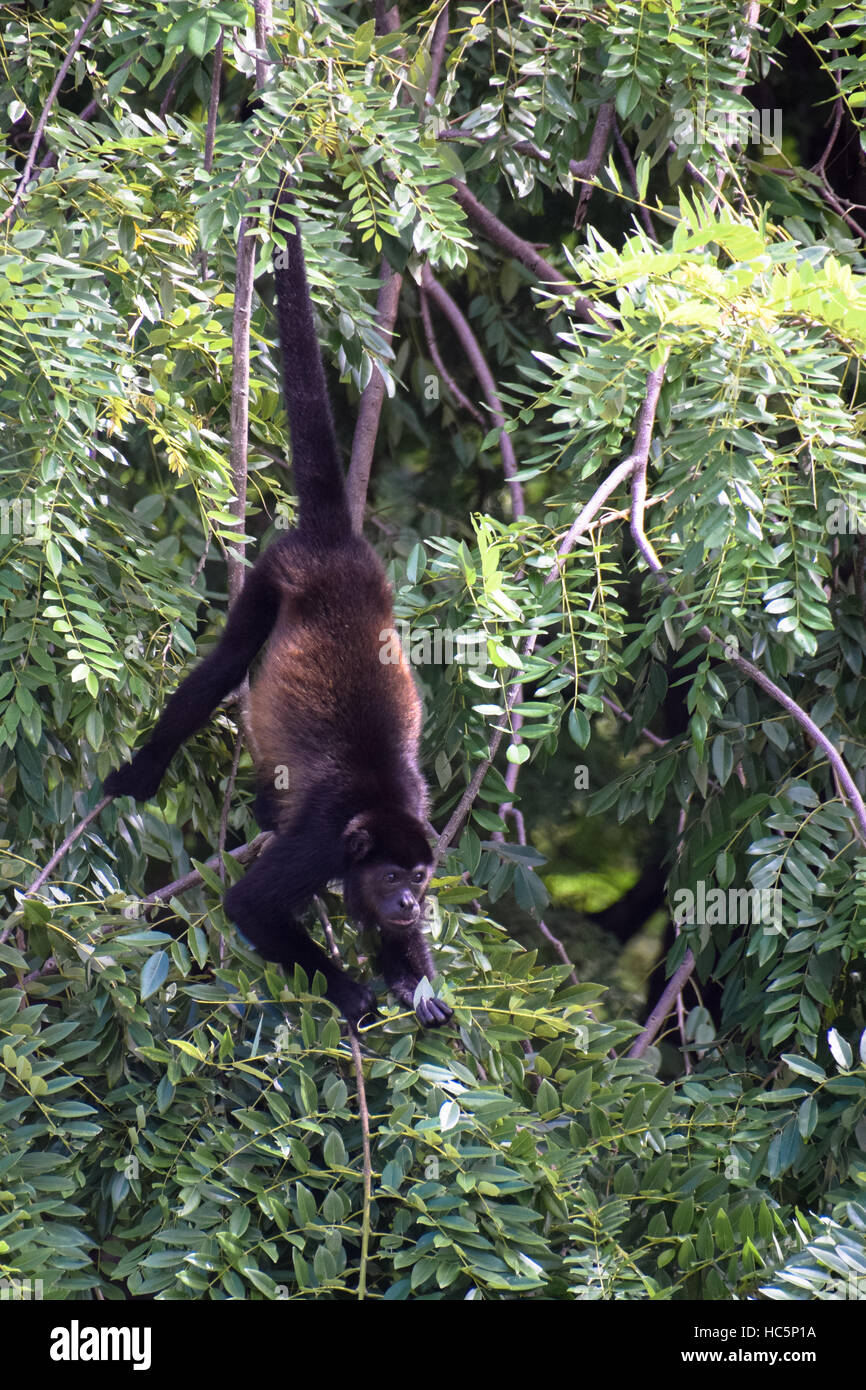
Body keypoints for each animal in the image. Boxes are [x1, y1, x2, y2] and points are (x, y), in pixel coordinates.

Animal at [104, 186, 453, 1031]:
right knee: (224, 665)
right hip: (274, 568)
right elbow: (251, 906)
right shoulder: (325, 843)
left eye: (420, 878)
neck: (376, 813)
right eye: (394, 874)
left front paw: (417, 982)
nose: (408, 903)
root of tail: (336, 540)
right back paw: (147, 771)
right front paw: (349, 989)